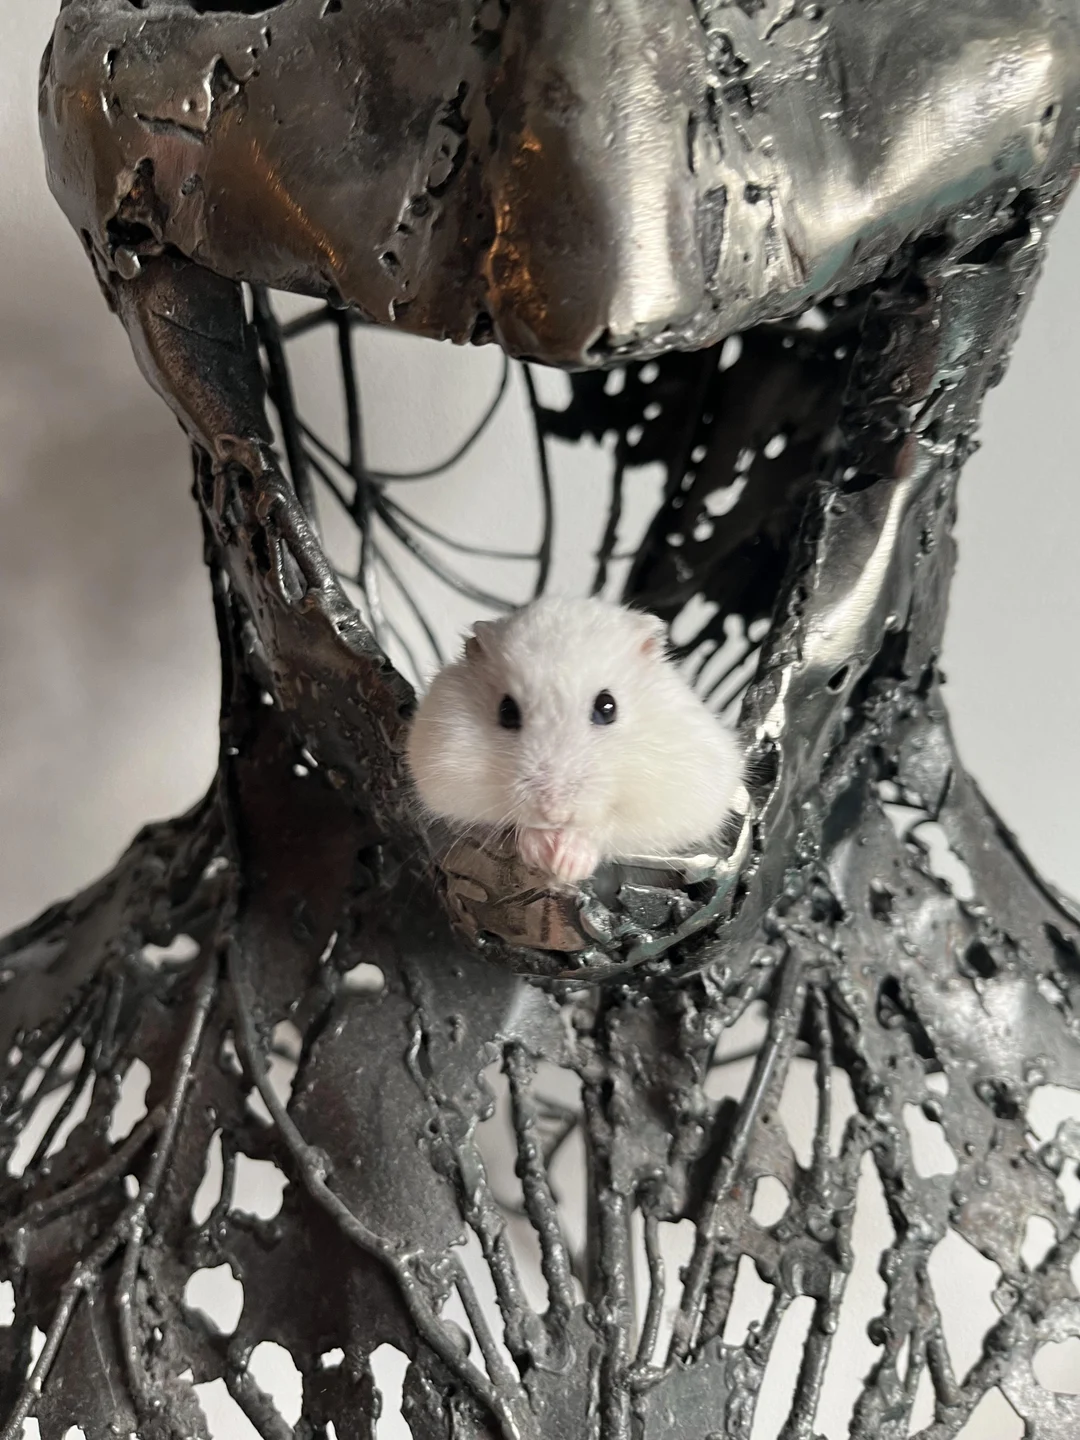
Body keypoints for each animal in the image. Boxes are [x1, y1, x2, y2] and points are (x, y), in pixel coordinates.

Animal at [406, 596, 745, 884]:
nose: (555, 814)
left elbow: (606, 827)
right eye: (506, 711)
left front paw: (566, 864)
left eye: (607, 707)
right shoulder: (445, 775)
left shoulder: (682, 796)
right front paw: (544, 851)